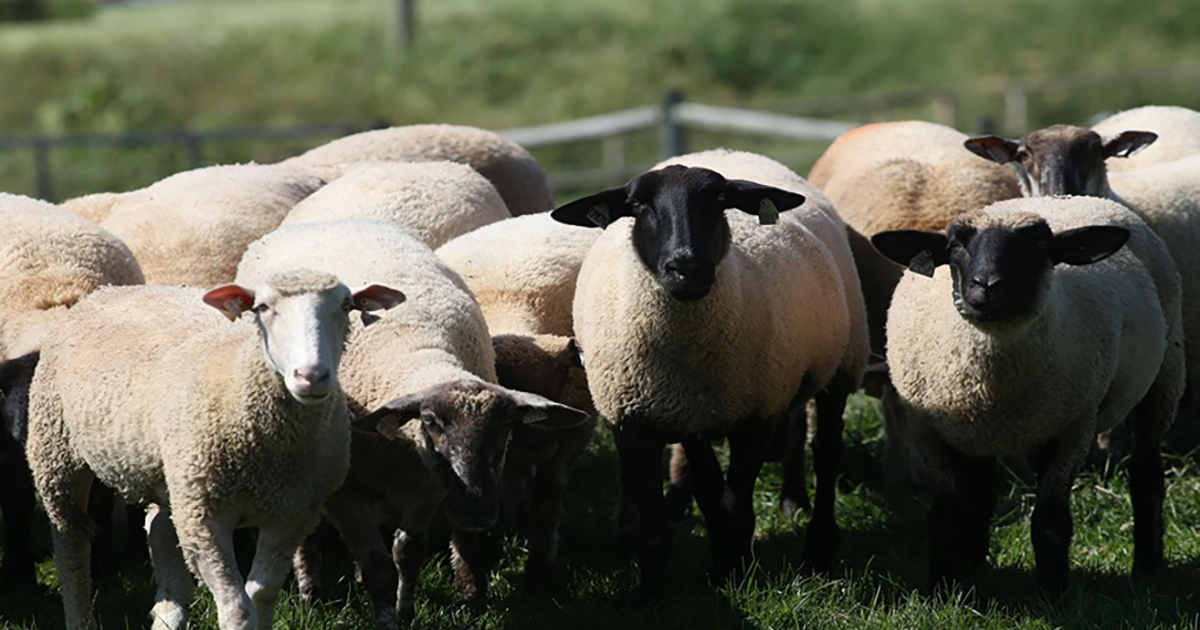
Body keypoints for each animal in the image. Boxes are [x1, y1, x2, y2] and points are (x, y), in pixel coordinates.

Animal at [25, 270, 405, 630]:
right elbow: (237, 608)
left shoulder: (293, 515)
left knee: (161, 531)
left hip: (176, 480)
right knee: (72, 542)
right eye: (262, 307)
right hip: (56, 450)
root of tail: (111, 290)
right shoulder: (206, 518)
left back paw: (168, 616)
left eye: (346, 305)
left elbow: (261, 594)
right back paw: (80, 616)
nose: (311, 375)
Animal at [235, 219, 588, 628]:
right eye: (431, 421)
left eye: (506, 428)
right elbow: (377, 566)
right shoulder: (346, 494)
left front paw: (404, 610)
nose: (477, 513)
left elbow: (409, 551)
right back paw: (311, 594)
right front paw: (384, 614)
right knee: (305, 533)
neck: (418, 355)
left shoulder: (426, 487)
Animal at [551, 149, 868, 606]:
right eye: (638, 205)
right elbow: (665, 525)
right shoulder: (639, 420)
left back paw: (818, 547)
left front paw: (736, 578)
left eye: (719, 200)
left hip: (840, 361)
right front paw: (653, 601)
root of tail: (731, 152)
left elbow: (736, 509)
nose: (687, 267)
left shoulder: (757, 415)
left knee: (826, 452)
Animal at [871, 196, 1183, 596]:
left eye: (1037, 248)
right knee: (984, 490)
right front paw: (946, 589)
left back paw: (1147, 568)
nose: (988, 285)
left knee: (1146, 474)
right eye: (955, 246)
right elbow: (947, 516)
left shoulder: (1072, 428)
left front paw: (1053, 594)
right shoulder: (931, 430)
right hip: (979, 432)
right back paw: (974, 564)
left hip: (1165, 377)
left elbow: (1050, 522)